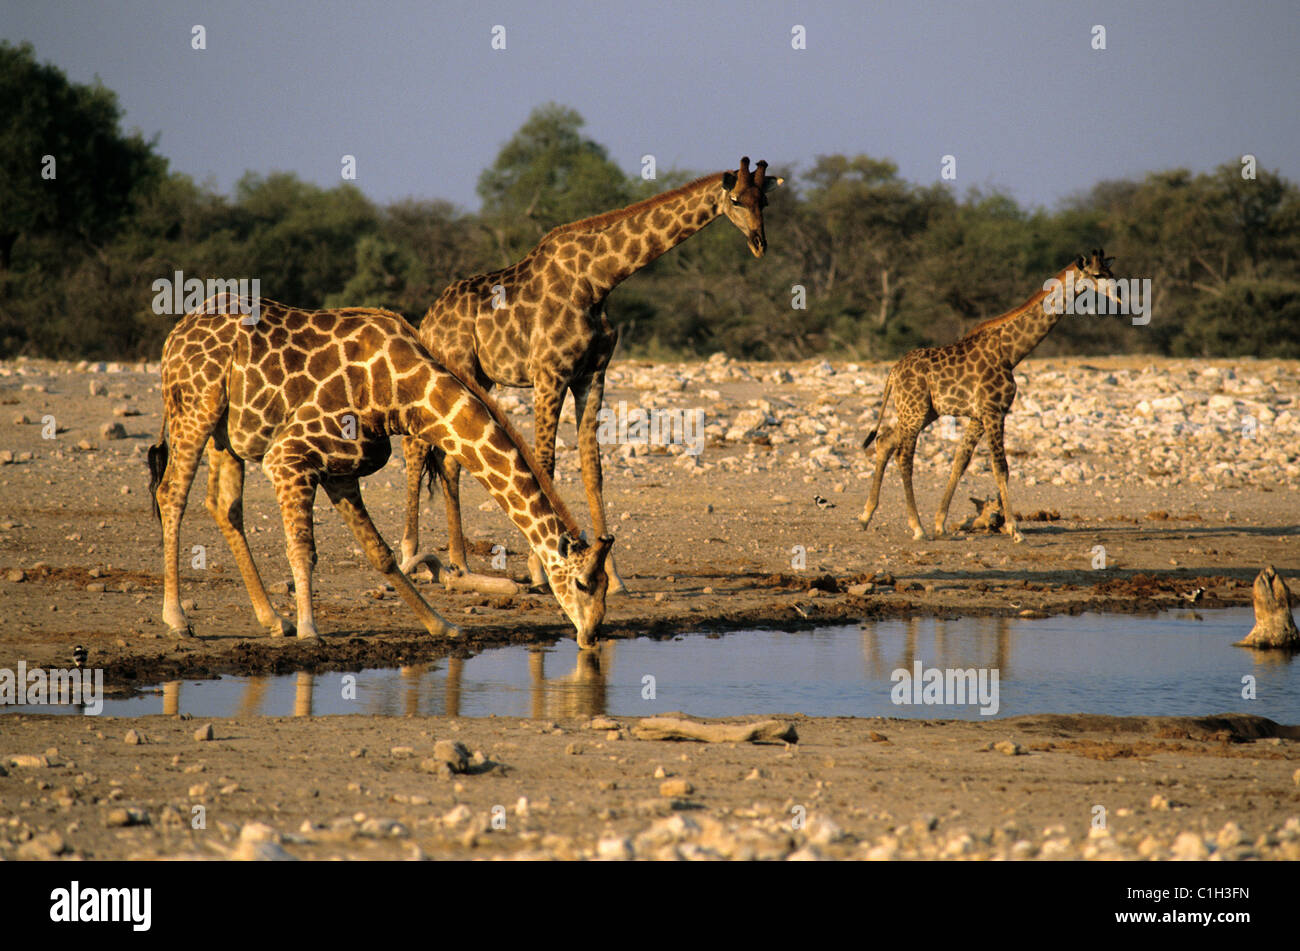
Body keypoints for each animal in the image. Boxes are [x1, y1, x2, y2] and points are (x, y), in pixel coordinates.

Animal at [147, 296, 613, 648]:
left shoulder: (341, 470)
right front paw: (310, 629)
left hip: (226, 436)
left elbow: (381, 553)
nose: (591, 636)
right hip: (195, 409)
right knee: (172, 494)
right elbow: (303, 549)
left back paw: (272, 619)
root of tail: (174, 337)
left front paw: (442, 625)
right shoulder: (290, 456)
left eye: (605, 585)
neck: (399, 393)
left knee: (224, 506)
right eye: (584, 584)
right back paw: (178, 619)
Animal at [400, 156, 783, 592]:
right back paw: (410, 553)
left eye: (763, 201)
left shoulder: (592, 375)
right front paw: (540, 570)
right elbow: (544, 463)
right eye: (735, 199)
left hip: (479, 379)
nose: (759, 243)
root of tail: (428, 320)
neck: (597, 281)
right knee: (416, 448)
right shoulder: (549, 374)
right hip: (443, 372)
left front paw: (613, 576)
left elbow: (592, 466)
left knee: (449, 460)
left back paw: (461, 565)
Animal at [857, 250, 1119, 543]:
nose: (1120, 297)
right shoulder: (995, 410)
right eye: (1097, 275)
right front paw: (1015, 530)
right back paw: (916, 527)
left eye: (1111, 273)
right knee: (904, 455)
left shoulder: (979, 414)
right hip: (914, 410)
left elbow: (961, 460)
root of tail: (892, 372)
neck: (1011, 353)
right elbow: (1000, 466)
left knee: (885, 440)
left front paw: (940, 522)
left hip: (923, 411)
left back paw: (866, 516)